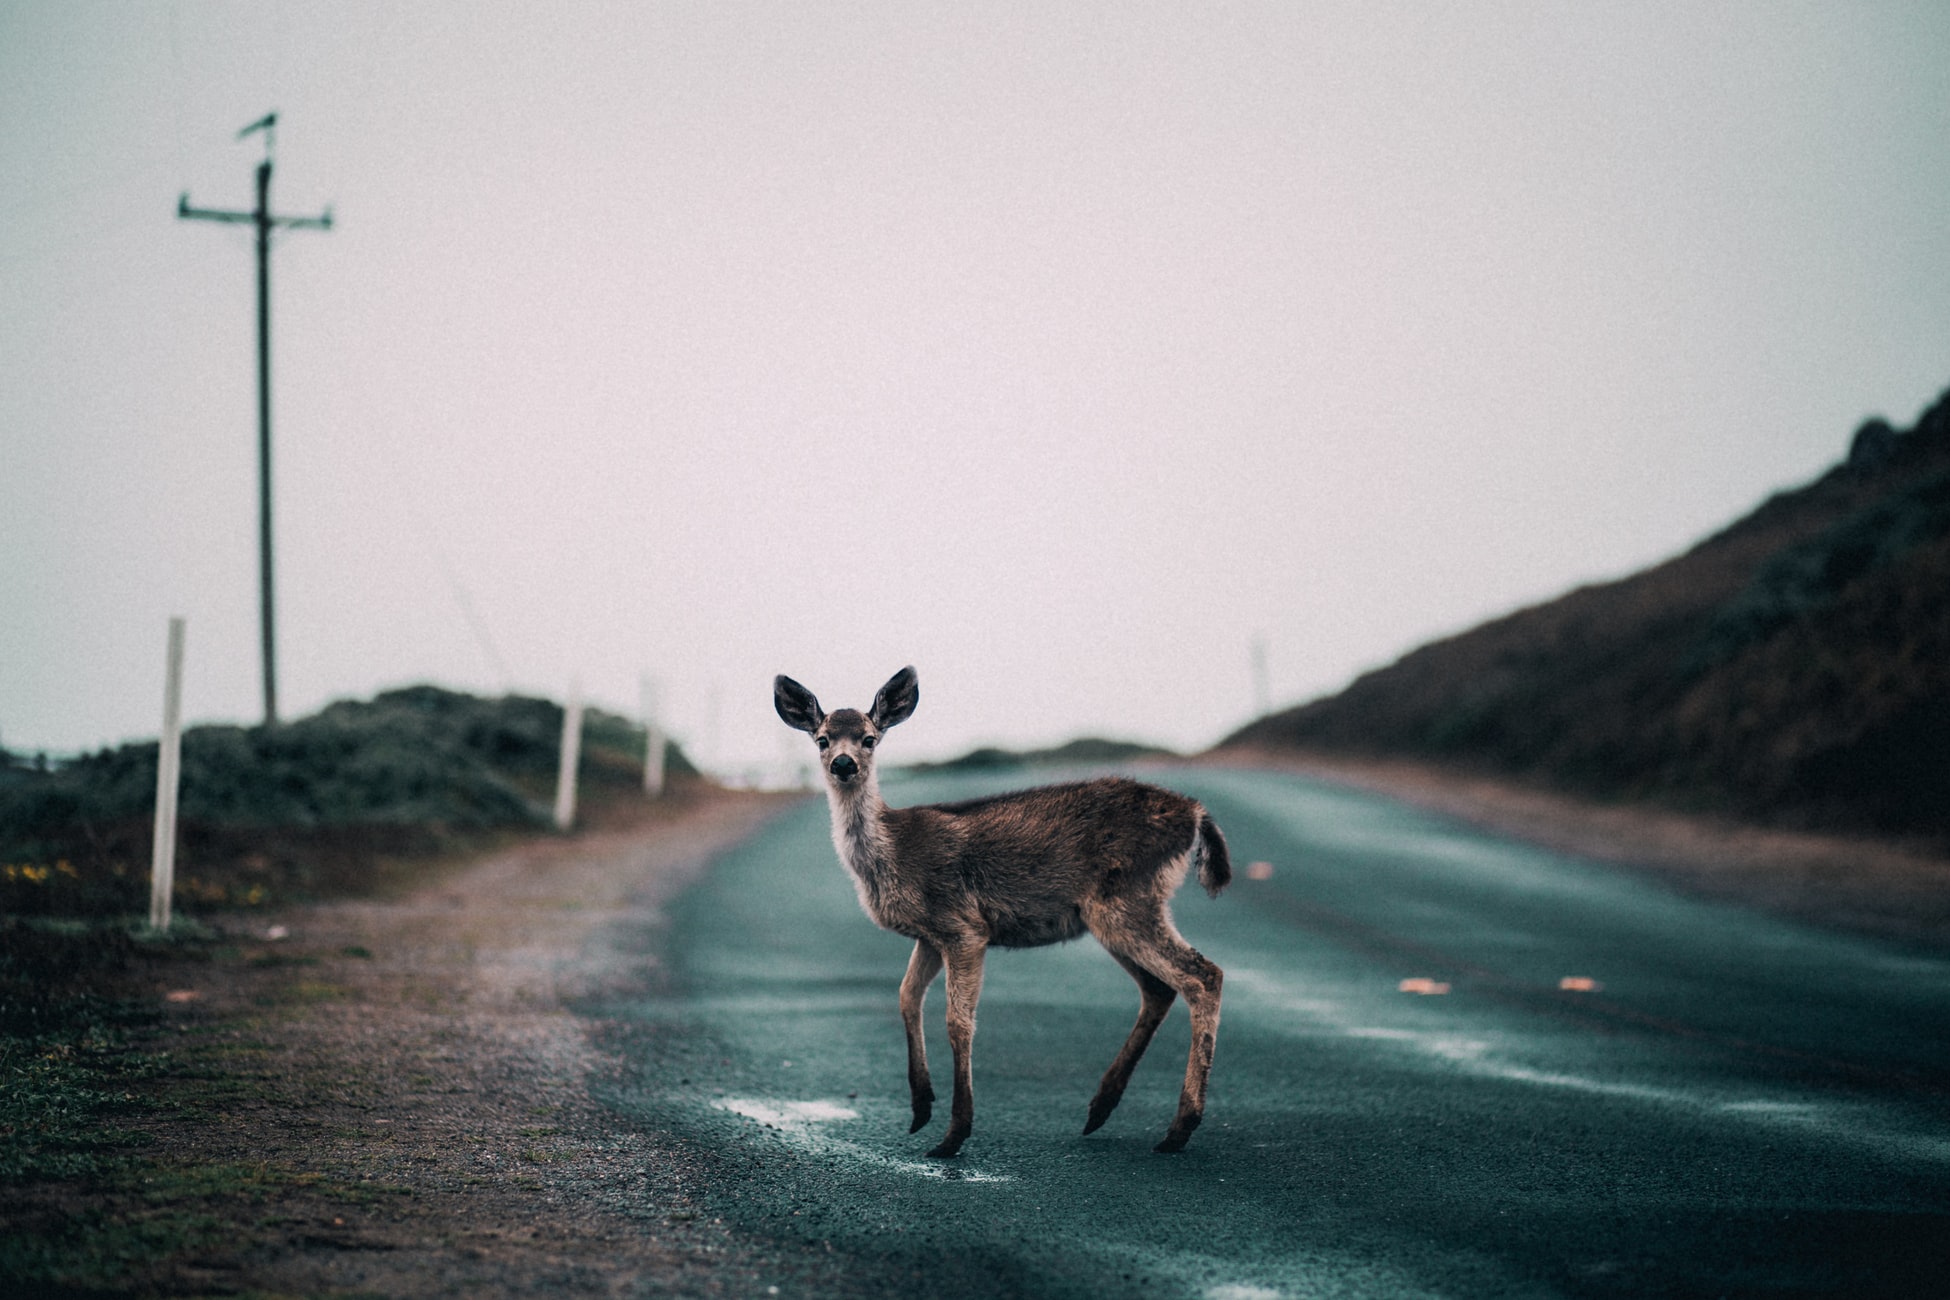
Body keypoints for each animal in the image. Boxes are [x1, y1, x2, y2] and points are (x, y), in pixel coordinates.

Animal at [773, 666, 1230, 1157]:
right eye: (822, 738)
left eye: (869, 738)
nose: (844, 764)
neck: (891, 853)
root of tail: (1195, 813)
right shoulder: (929, 935)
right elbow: (906, 997)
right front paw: (920, 1109)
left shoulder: (964, 926)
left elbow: (958, 1021)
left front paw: (954, 1134)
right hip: (1116, 912)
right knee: (1159, 988)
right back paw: (1100, 1110)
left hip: (1126, 900)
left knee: (1203, 976)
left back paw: (1179, 1128)